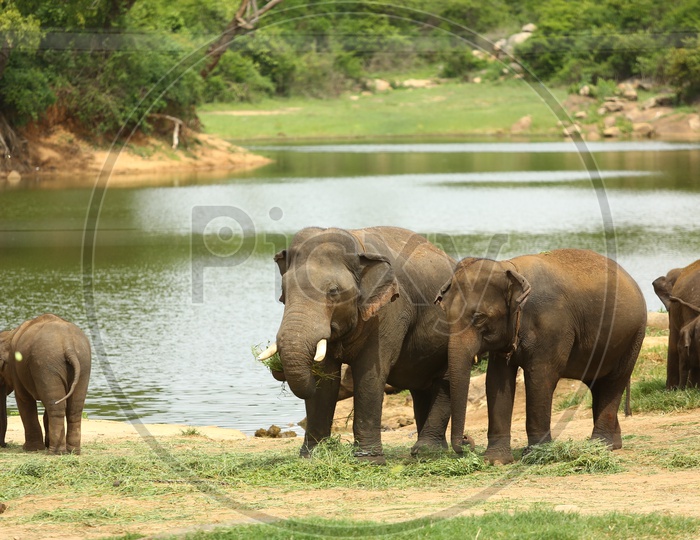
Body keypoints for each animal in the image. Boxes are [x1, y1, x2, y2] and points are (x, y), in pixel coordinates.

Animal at [0, 314, 91, 454]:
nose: (3, 445)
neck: (9, 334)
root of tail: (68, 344)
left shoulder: (17, 370)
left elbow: (24, 400)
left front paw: (31, 449)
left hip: (46, 364)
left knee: (56, 406)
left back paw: (56, 452)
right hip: (83, 363)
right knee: (73, 407)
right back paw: (73, 451)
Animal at [258, 226, 456, 463]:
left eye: (333, 291)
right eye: (284, 291)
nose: (277, 368)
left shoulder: (390, 311)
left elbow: (370, 373)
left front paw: (368, 461)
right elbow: (325, 377)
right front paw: (312, 456)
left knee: (445, 382)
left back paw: (426, 451)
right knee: (421, 388)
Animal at [435, 249, 647, 464]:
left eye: (479, 318)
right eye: (445, 314)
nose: (467, 439)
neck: (509, 269)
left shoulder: (551, 326)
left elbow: (539, 378)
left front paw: (537, 455)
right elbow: (496, 380)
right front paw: (495, 460)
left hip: (634, 335)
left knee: (613, 382)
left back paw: (599, 445)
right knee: (598, 385)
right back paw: (613, 444)